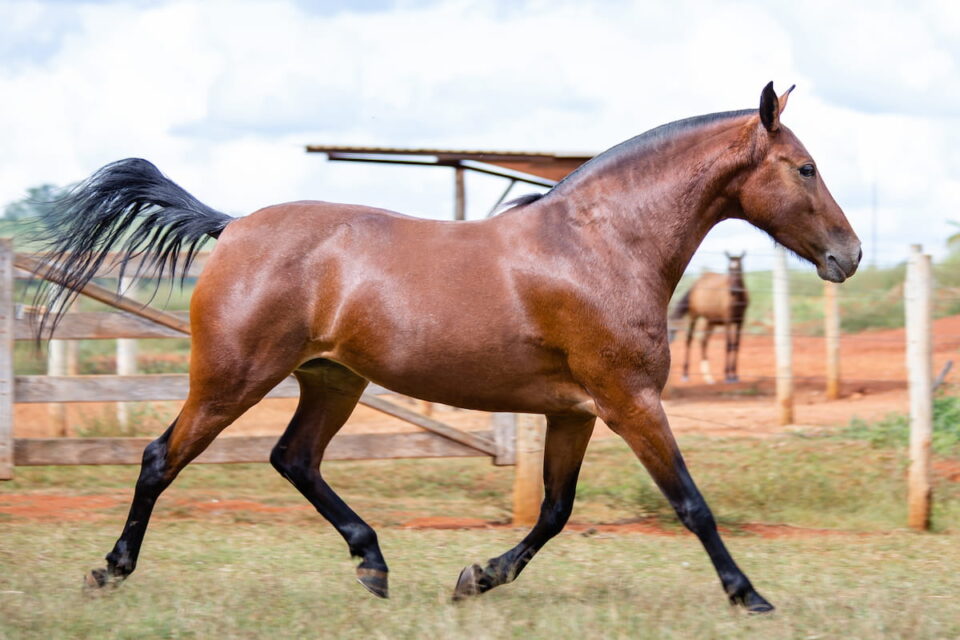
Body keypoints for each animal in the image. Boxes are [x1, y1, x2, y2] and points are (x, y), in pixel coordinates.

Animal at [671, 252, 749, 384]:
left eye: (740, 268)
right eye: (729, 269)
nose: (733, 290)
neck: (737, 300)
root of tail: (695, 285)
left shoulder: (740, 321)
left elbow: (736, 345)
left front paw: (734, 375)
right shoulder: (728, 321)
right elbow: (728, 345)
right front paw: (728, 375)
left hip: (710, 322)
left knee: (703, 341)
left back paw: (708, 376)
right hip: (694, 316)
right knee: (689, 339)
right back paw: (685, 374)